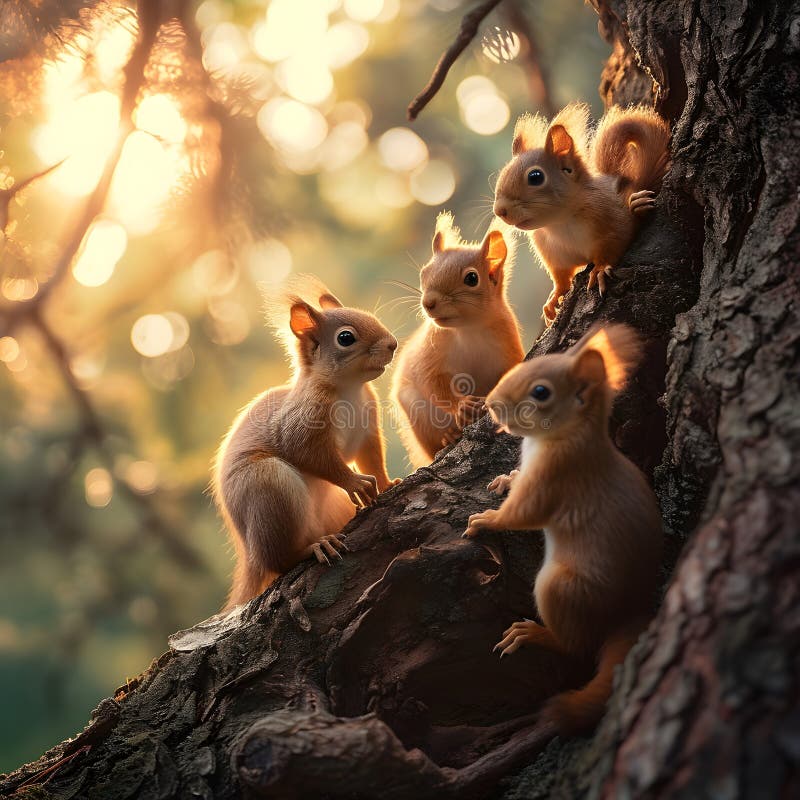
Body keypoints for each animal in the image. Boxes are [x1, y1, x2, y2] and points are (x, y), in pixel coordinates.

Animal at [213, 275, 399, 608]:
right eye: (346, 338)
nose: (393, 344)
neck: (348, 389)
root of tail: (249, 553)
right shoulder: (302, 421)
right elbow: (309, 453)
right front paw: (355, 482)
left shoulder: (367, 425)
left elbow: (372, 456)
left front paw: (387, 483)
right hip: (269, 487)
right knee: (280, 560)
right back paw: (314, 547)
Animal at [390, 213, 525, 468]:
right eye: (424, 273)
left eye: (472, 278)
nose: (428, 302)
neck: (469, 329)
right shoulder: (430, 351)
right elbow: (432, 381)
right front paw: (463, 406)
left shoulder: (508, 344)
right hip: (418, 414)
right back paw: (449, 436)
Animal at [463, 323, 663, 734]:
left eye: (541, 392)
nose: (490, 403)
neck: (573, 435)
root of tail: (628, 611)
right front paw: (507, 478)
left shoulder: (556, 479)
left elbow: (522, 514)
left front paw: (487, 519)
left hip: (560, 587)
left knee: (575, 646)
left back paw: (534, 634)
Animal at [493, 102, 670, 326]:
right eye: (503, 173)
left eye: (535, 177)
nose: (500, 211)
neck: (560, 222)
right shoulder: (553, 253)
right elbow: (560, 277)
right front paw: (554, 298)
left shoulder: (610, 222)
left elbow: (613, 246)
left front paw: (600, 269)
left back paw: (636, 204)